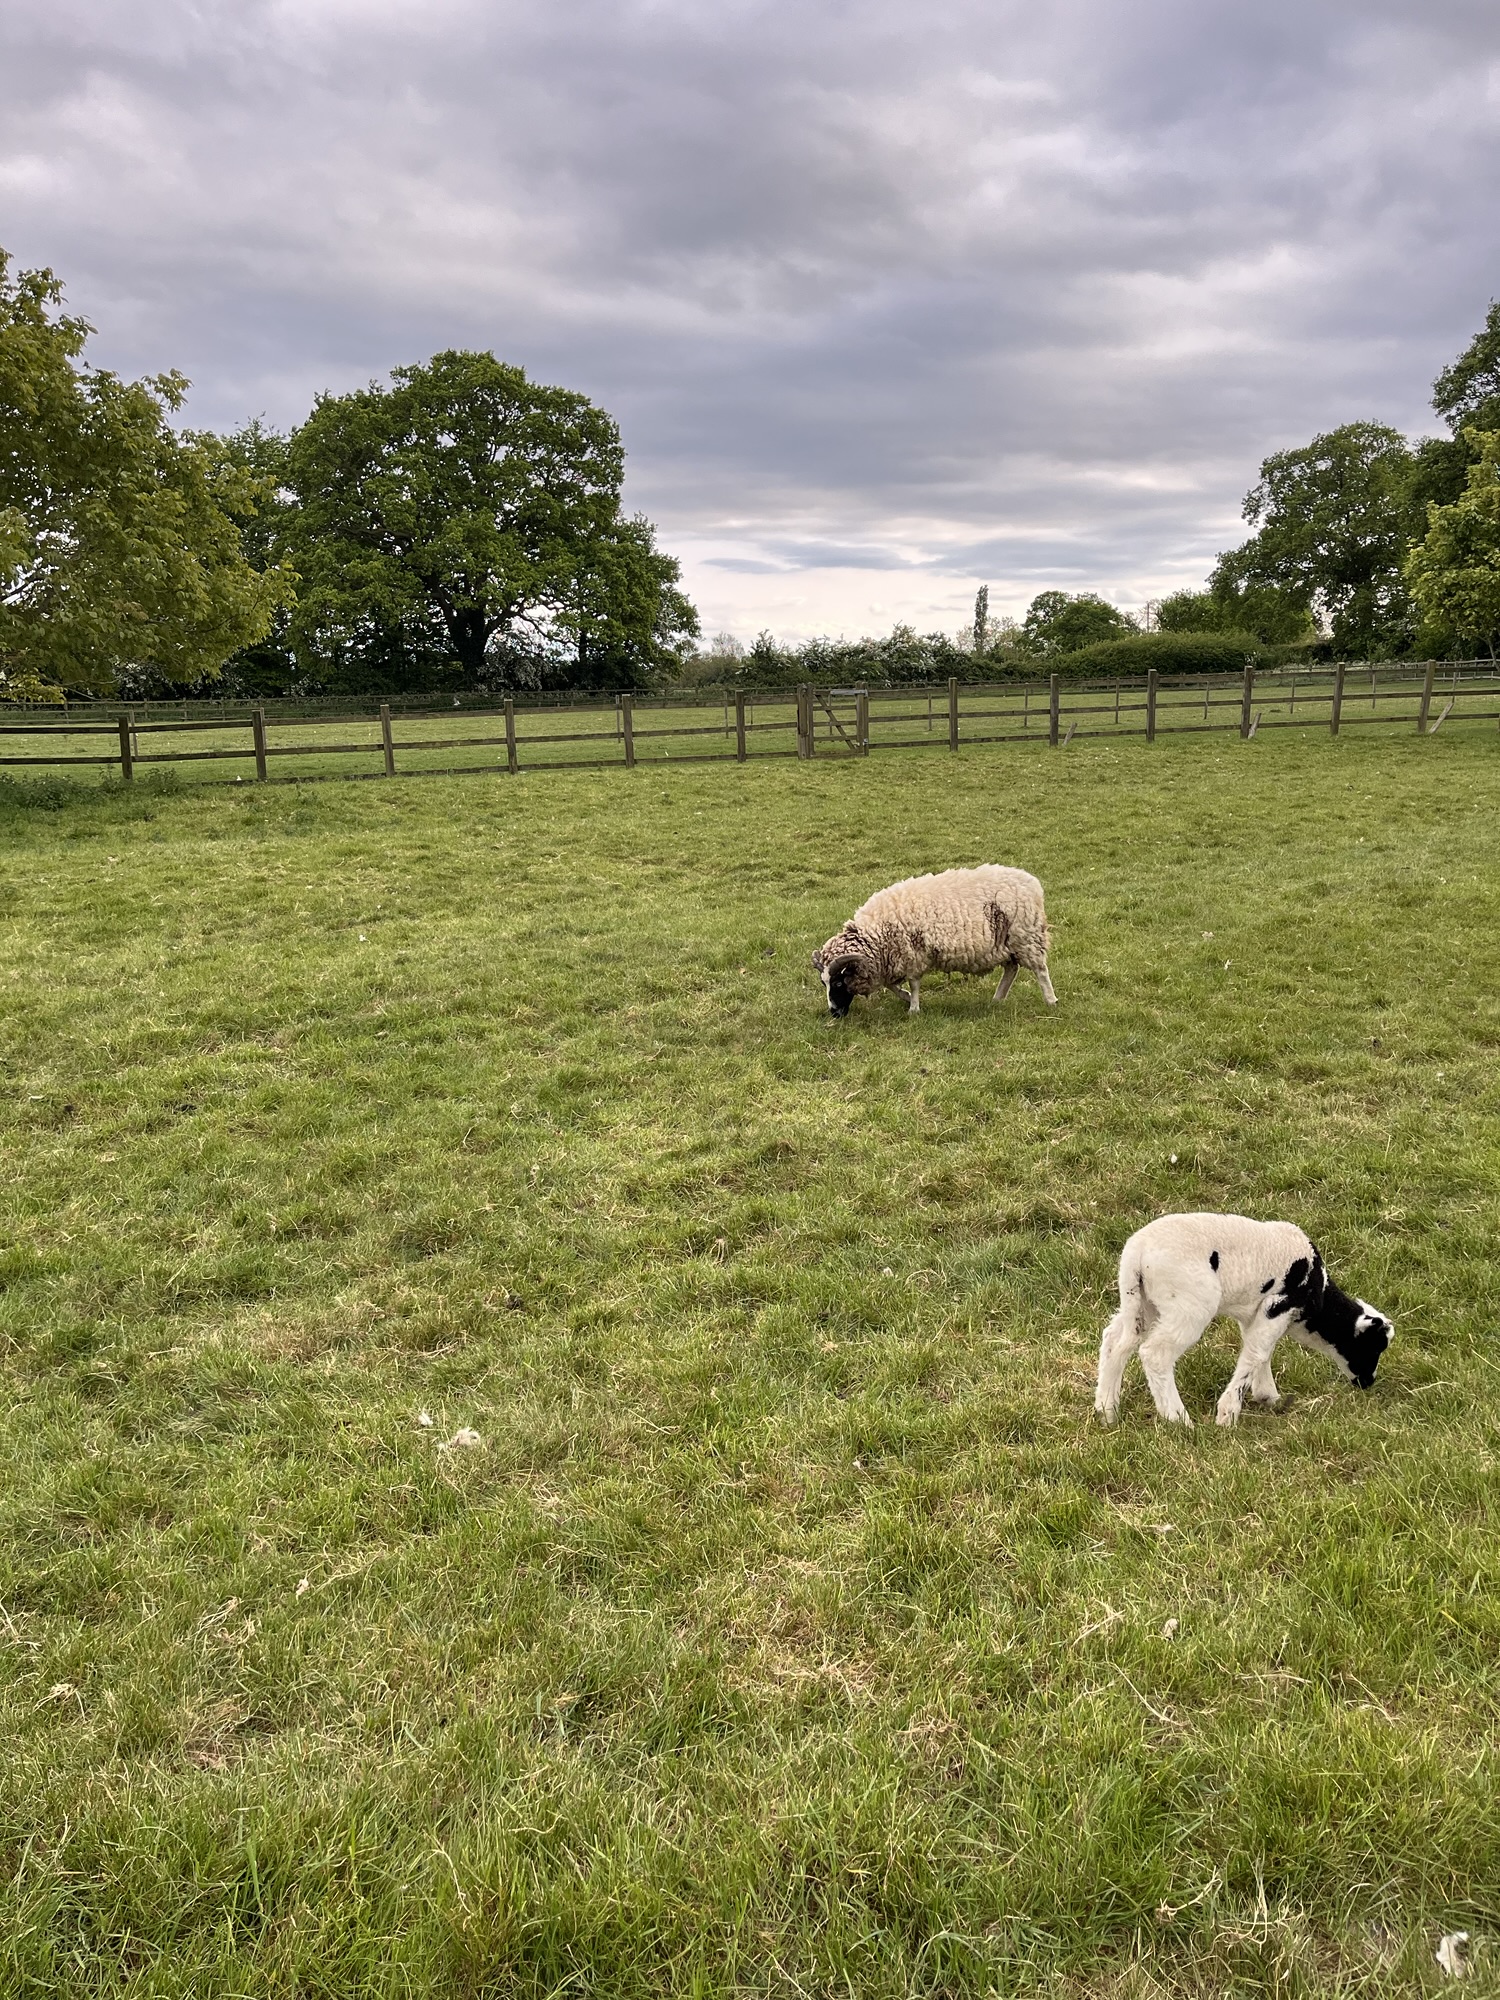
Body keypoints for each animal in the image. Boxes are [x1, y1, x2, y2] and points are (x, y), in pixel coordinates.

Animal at [811, 864, 1056, 1018]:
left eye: (839, 983)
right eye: (824, 984)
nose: (834, 1013)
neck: (875, 933)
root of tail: (1032, 883)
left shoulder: (912, 955)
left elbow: (913, 983)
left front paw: (913, 1008)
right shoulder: (892, 960)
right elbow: (892, 985)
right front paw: (907, 998)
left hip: (1026, 936)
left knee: (1040, 970)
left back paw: (1051, 1000)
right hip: (1006, 943)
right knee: (1011, 969)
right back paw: (997, 999)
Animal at [1094, 1212, 1393, 1428]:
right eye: (1373, 1346)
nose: (1368, 1382)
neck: (1317, 1299)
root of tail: (1138, 1253)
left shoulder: (1257, 1312)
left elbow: (1259, 1351)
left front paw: (1268, 1396)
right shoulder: (1279, 1305)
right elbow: (1256, 1353)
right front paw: (1228, 1415)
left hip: (1142, 1302)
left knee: (1115, 1341)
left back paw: (1106, 1410)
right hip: (1189, 1304)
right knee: (1155, 1354)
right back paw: (1179, 1420)